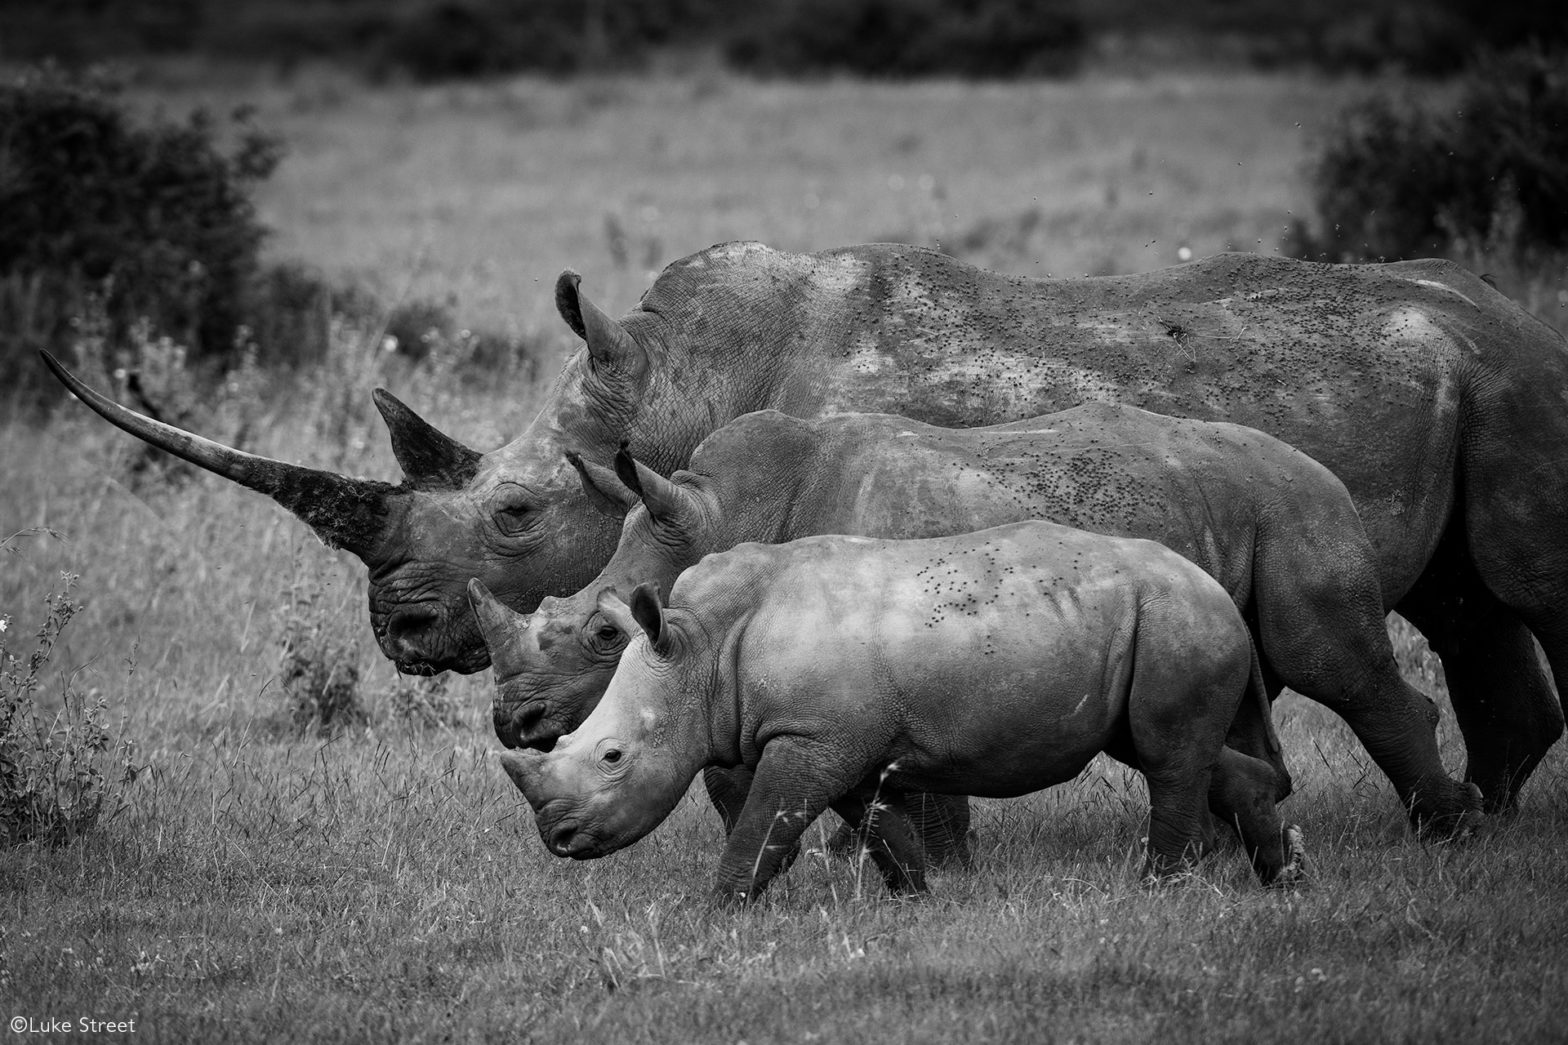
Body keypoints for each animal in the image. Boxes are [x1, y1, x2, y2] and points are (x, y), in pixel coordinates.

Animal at [471, 403, 1482, 836]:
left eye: (606, 636)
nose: (512, 721)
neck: (721, 508)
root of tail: (1322, 468)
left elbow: (914, 780)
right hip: (1235, 521)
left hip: (1298, 507)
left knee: (1329, 665)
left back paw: (1450, 829)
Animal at [499, 521, 1308, 902]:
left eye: (613, 757)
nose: (558, 839)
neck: (701, 646)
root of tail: (1213, 586)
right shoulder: (840, 739)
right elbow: (878, 821)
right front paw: (920, 899)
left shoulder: (810, 736)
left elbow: (765, 823)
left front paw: (721, 909)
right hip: (1148, 621)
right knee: (1160, 746)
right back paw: (1284, 880)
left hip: (1176, 618)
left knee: (1167, 756)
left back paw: (1157, 886)